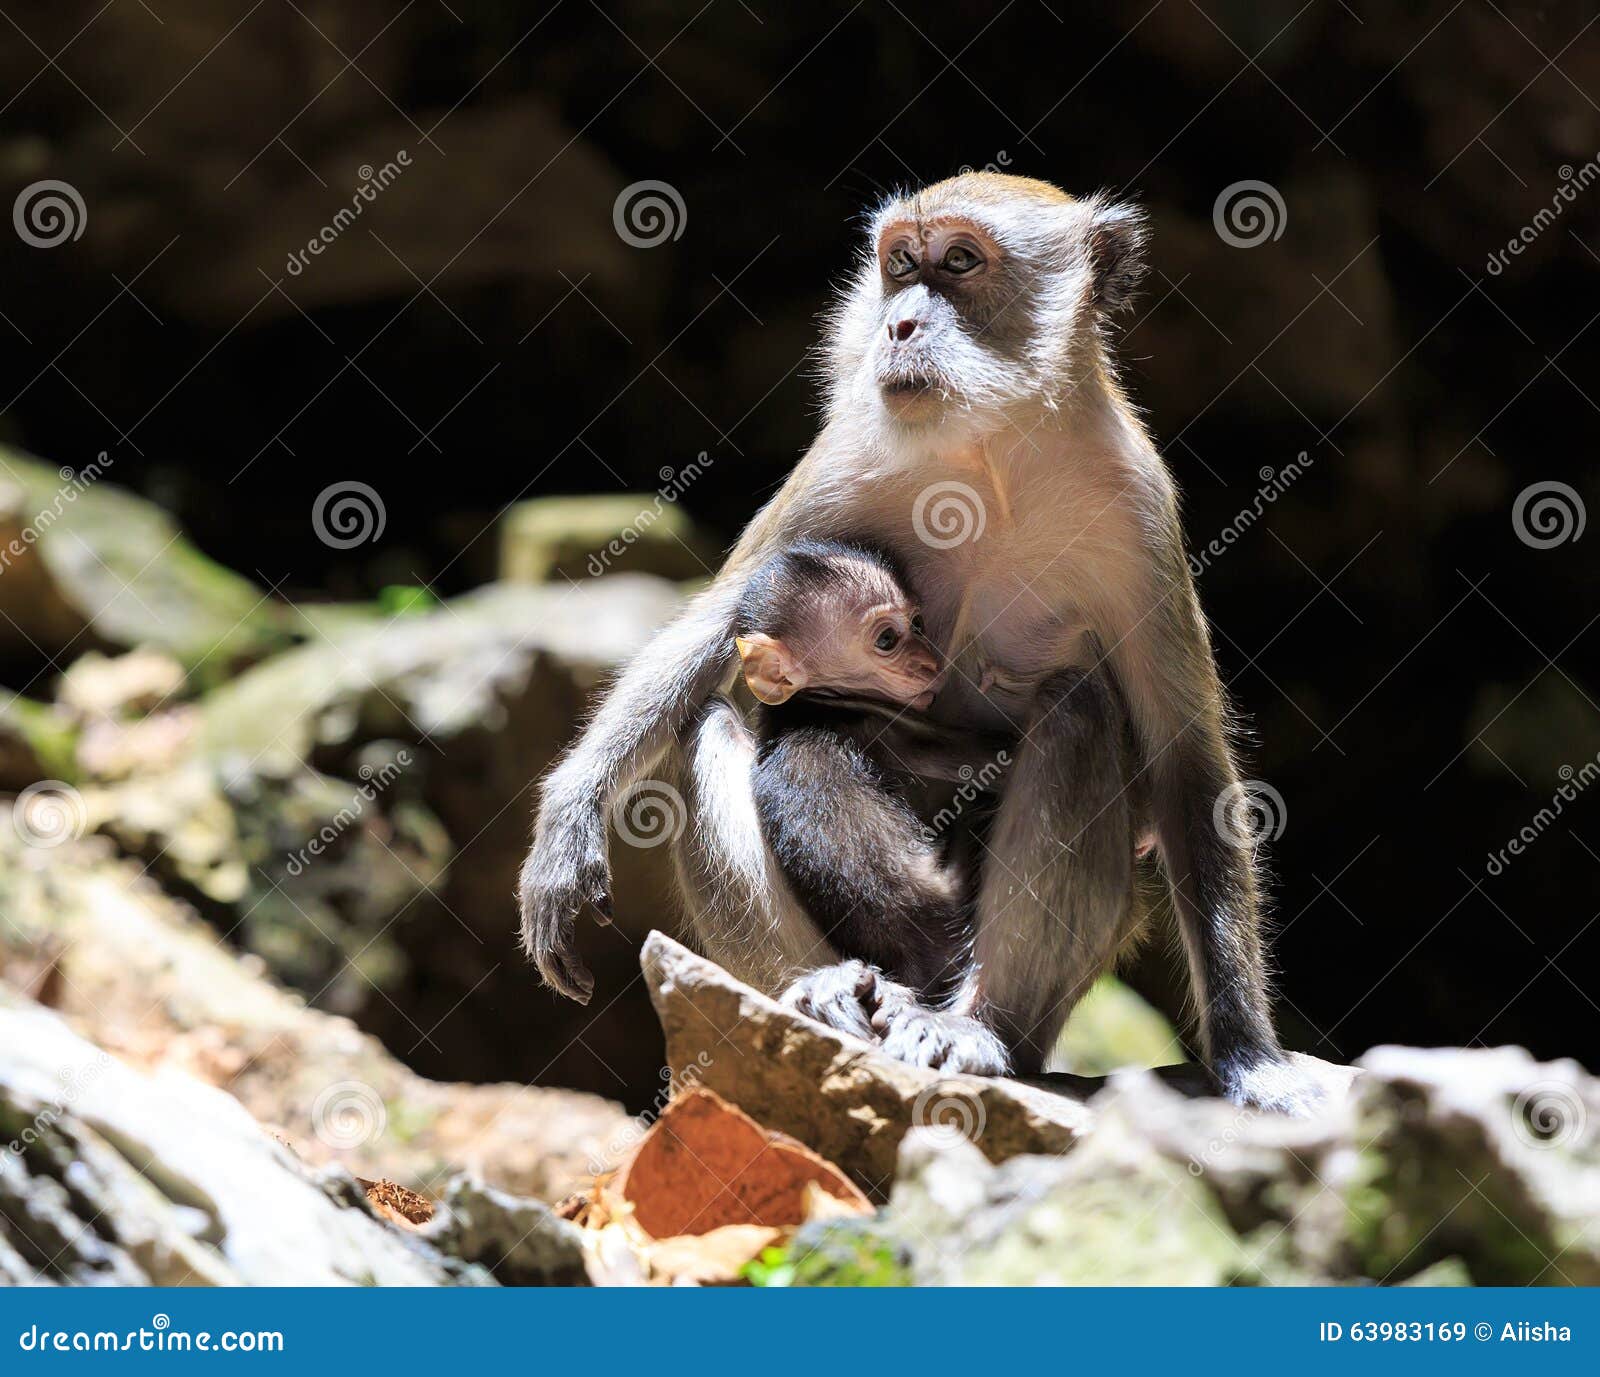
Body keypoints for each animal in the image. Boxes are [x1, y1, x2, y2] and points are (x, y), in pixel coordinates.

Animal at [520, 172, 1322, 1115]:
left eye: (959, 261)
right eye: (901, 262)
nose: (900, 322)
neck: (989, 452)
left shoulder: (1141, 510)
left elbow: (1185, 761)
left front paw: (1250, 1056)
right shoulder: (846, 455)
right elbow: (719, 625)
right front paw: (568, 819)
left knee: (1080, 711)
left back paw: (973, 1026)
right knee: (707, 726)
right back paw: (819, 987)